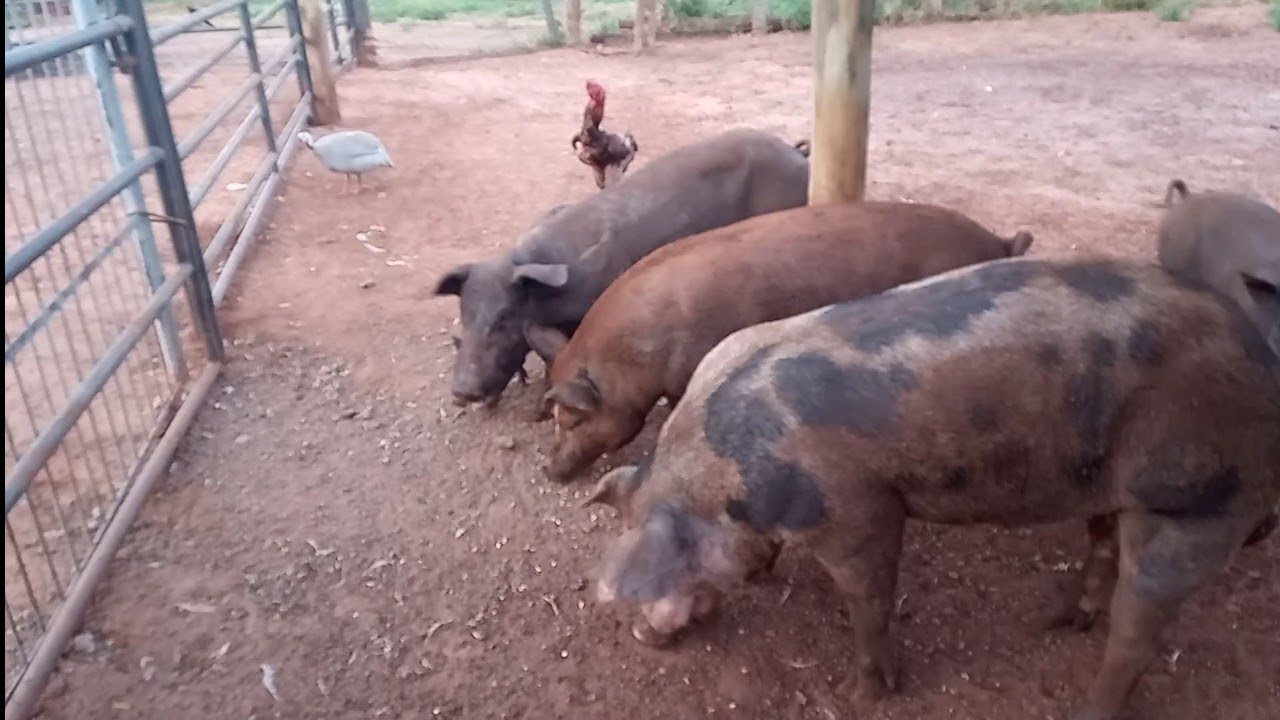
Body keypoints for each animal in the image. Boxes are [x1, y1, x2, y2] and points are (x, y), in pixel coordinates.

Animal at [585, 257, 1280, 720]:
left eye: (667, 564)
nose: (644, 637)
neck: (724, 478)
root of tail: (1261, 357)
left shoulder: (858, 511)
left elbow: (868, 600)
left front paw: (859, 697)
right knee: (1104, 548)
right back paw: (1056, 621)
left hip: (1200, 500)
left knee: (1141, 631)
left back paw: (1085, 705)